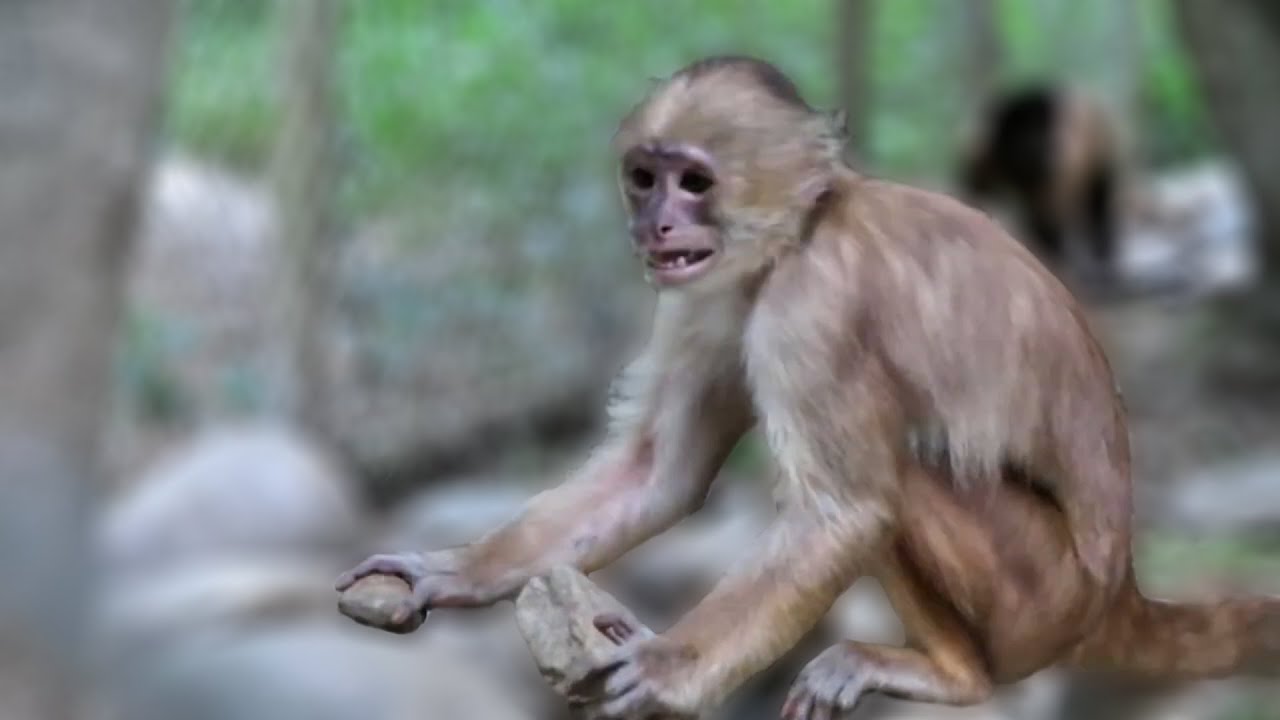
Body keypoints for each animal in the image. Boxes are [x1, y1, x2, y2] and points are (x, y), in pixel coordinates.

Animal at [957, 84, 1126, 295]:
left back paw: (1102, 252)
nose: (1053, 148)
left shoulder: (1049, 177)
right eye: (1032, 134)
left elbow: (1048, 224)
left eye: (1049, 134)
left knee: (1098, 199)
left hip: (1102, 141)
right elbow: (975, 195)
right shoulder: (985, 153)